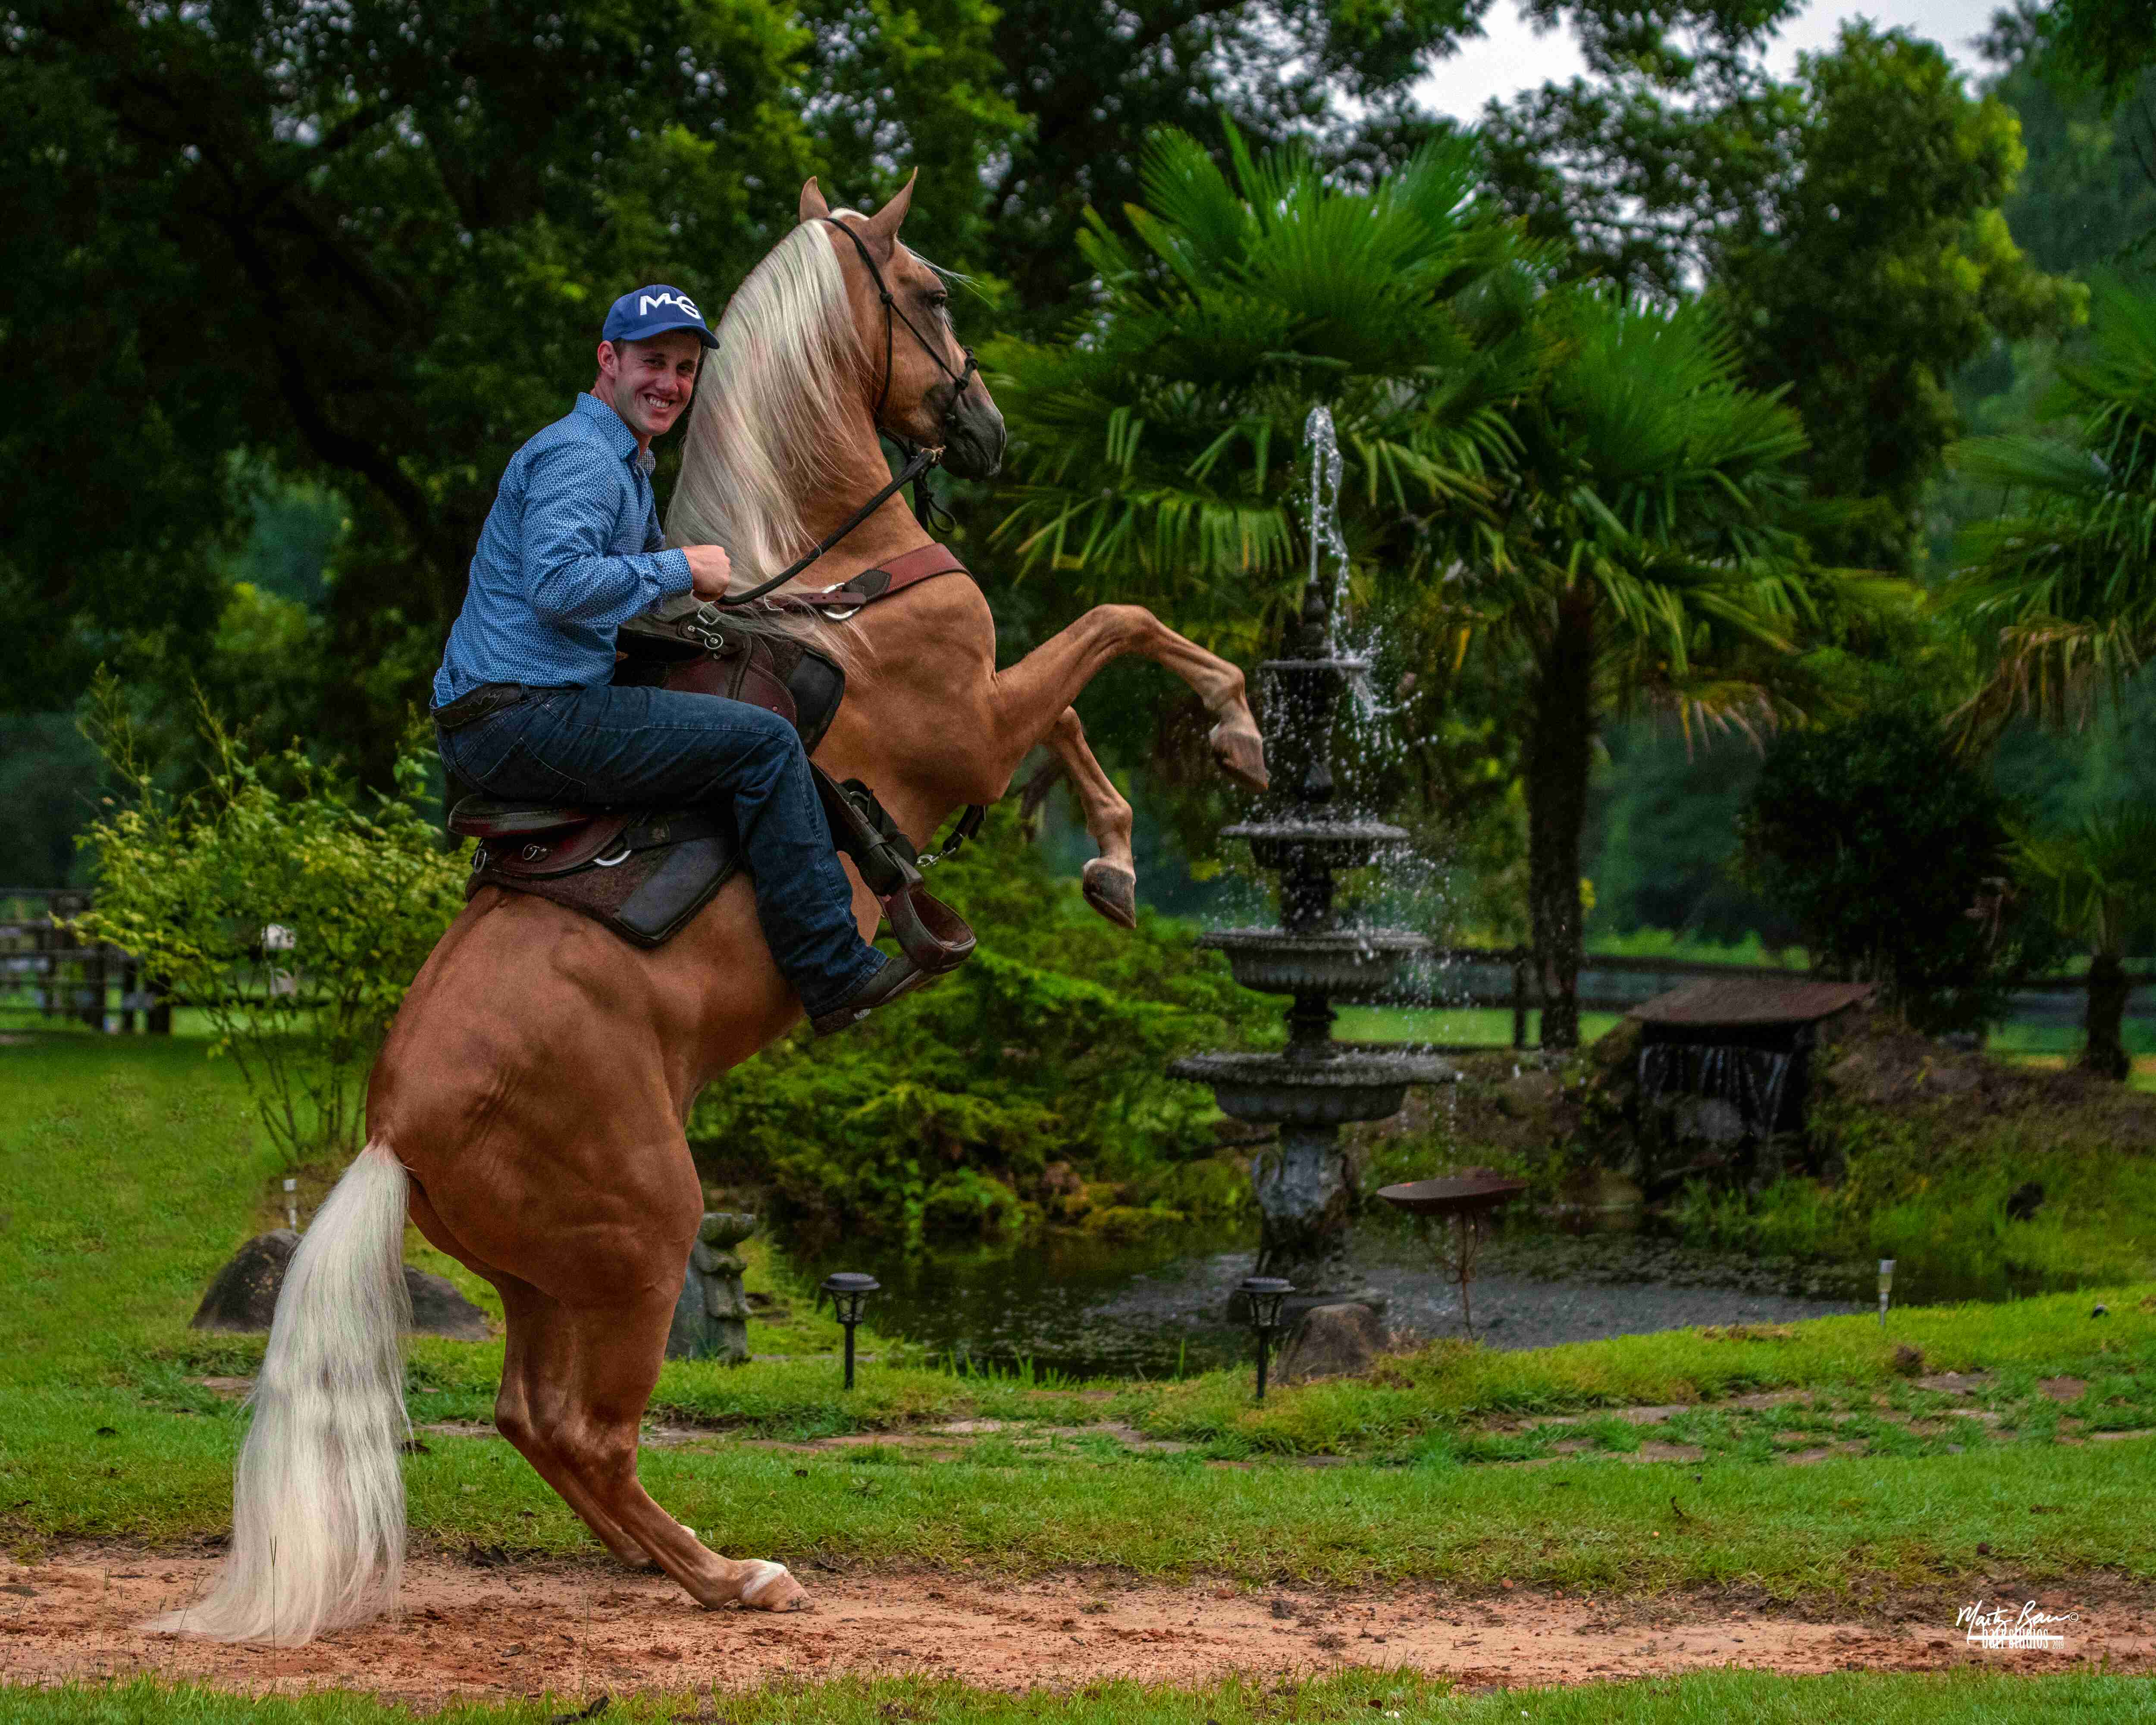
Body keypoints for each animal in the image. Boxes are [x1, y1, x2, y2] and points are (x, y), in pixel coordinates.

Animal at [157, 173, 1267, 1643]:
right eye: (934, 291)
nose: (987, 427)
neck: (833, 591)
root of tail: (390, 1130)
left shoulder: (989, 723)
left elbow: (1082, 701)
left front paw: (1114, 867)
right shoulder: (975, 727)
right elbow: (1119, 627)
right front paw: (1231, 740)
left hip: (549, 1273)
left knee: (532, 1419)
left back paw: (661, 1558)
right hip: (646, 1238)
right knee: (587, 1427)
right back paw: (729, 1573)